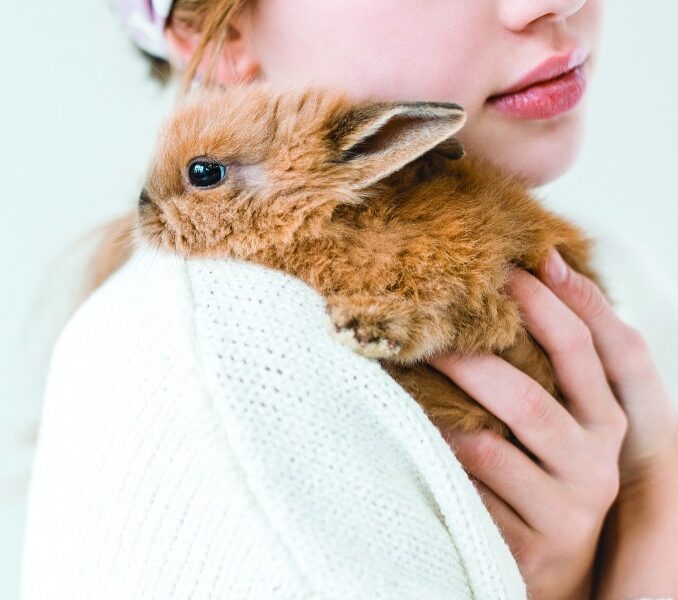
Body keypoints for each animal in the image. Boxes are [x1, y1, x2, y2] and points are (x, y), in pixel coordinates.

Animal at [135, 83, 602, 437]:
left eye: (204, 173)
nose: (142, 206)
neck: (333, 222)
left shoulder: (468, 281)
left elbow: (437, 316)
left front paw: (365, 327)